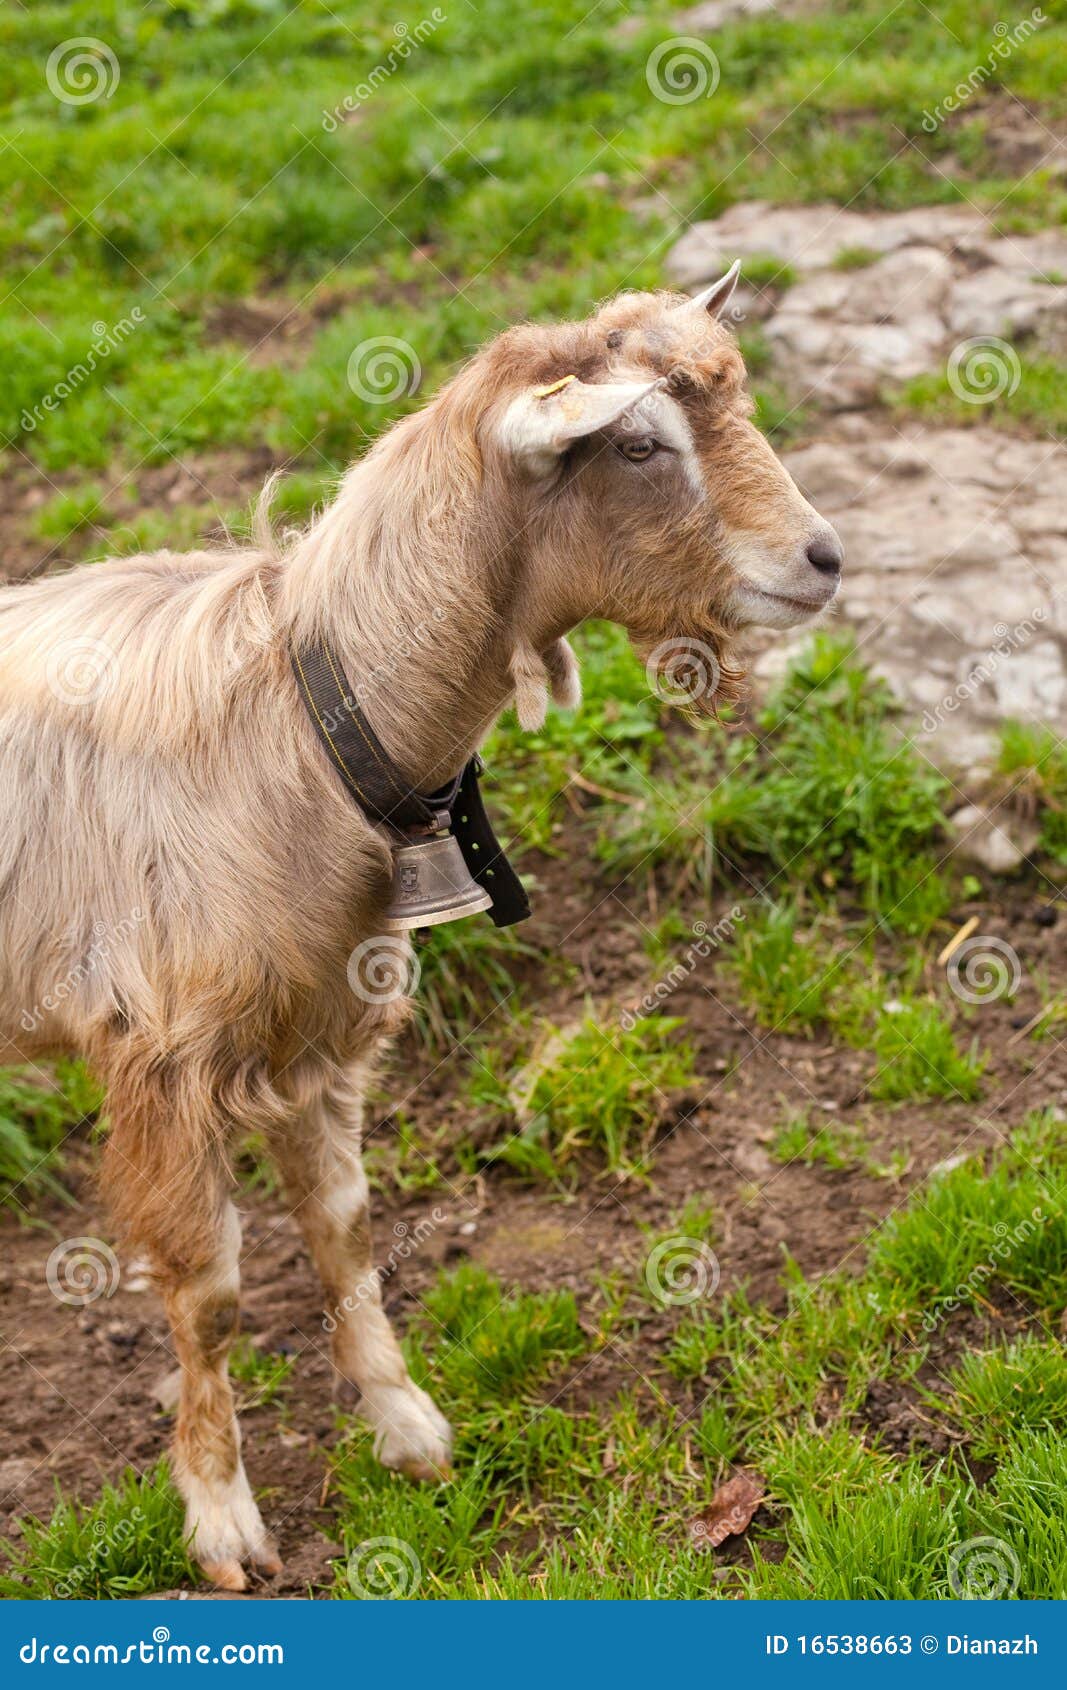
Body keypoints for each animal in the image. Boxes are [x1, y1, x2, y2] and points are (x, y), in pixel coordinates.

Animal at [0, 273, 842, 1588]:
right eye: (638, 445)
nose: (822, 557)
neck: (301, 727)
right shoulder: (163, 1060)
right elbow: (210, 1292)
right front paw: (223, 1519)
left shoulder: (311, 1036)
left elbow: (343, 1232)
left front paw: (407, 1428)